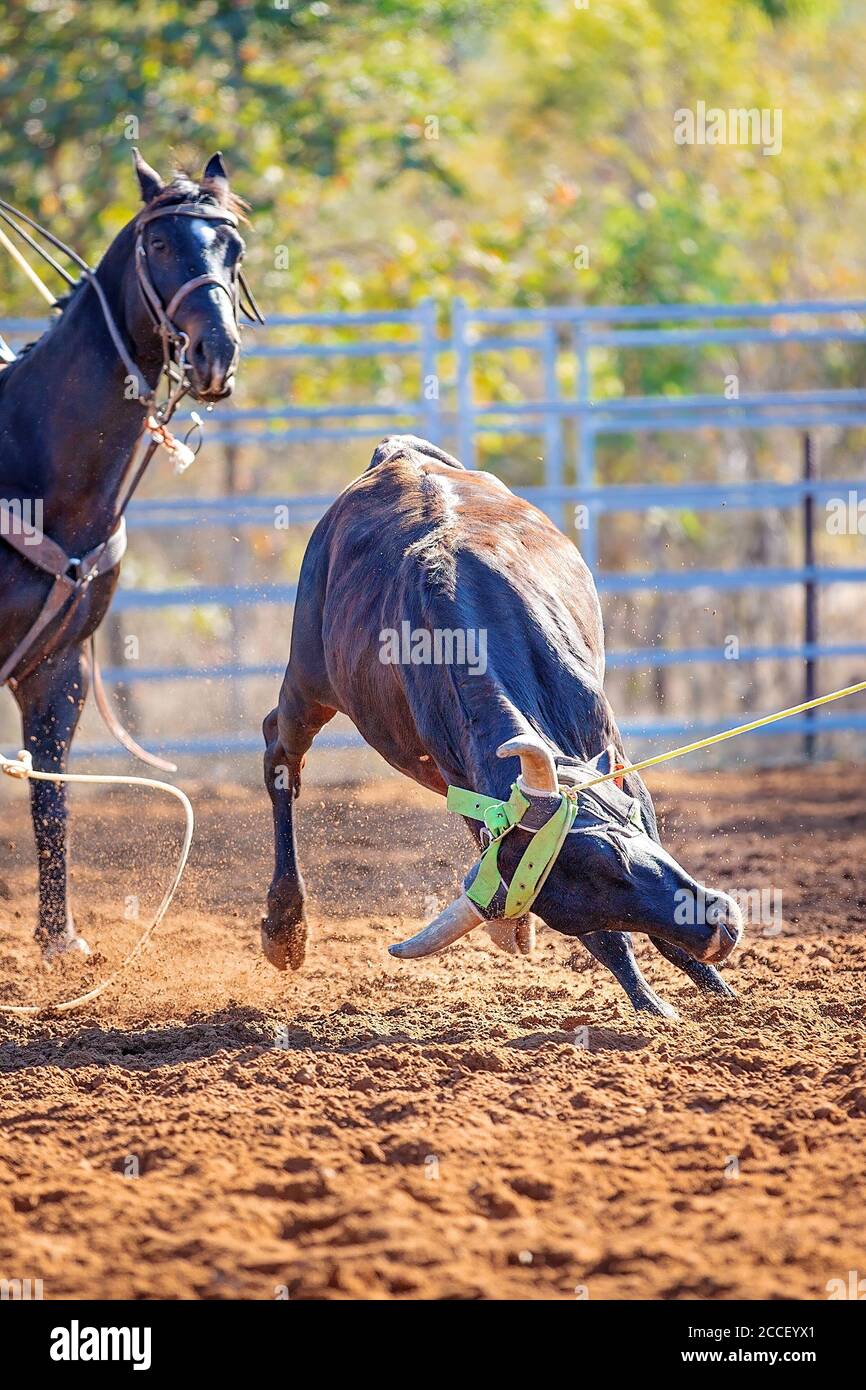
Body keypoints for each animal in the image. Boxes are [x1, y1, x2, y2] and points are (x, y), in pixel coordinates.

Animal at [260, 435, 742, 1017]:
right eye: (590, 905)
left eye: (620, 854)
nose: (716, 932)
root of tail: (393, 453)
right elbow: (609, 947)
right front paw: (653, 1004)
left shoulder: (611, 753)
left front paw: (716, 987)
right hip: (310, 677)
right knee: (280, 751)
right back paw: (285, 927)